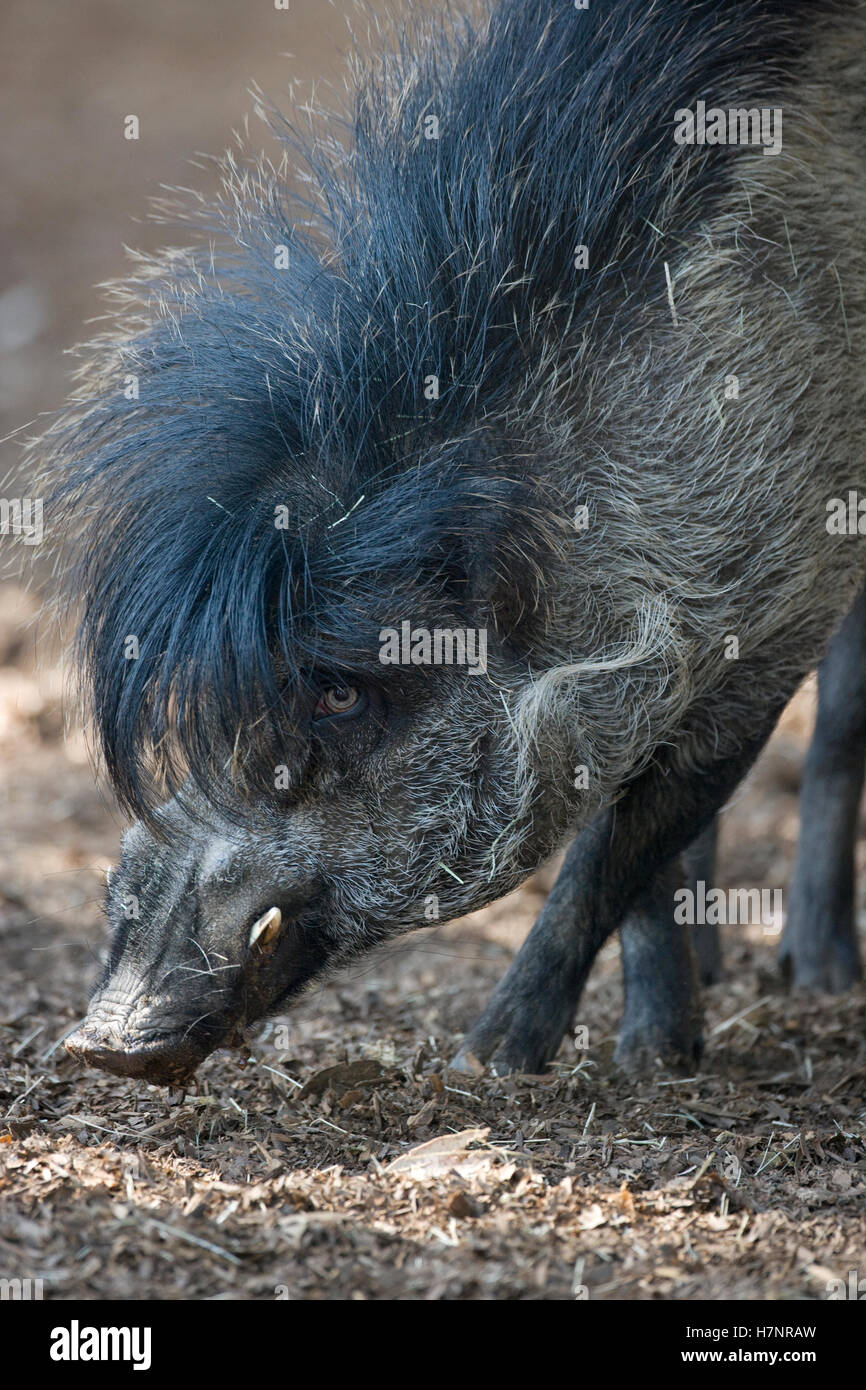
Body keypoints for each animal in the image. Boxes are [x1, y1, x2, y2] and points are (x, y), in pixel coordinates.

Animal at [38, 0, 866, 1086]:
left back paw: (818, 978)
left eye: (341, 693)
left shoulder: (763, 631)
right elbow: (637, 852)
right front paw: (648, 1050)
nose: (101, 1042)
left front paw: (496, 1061)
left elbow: (620, 848)